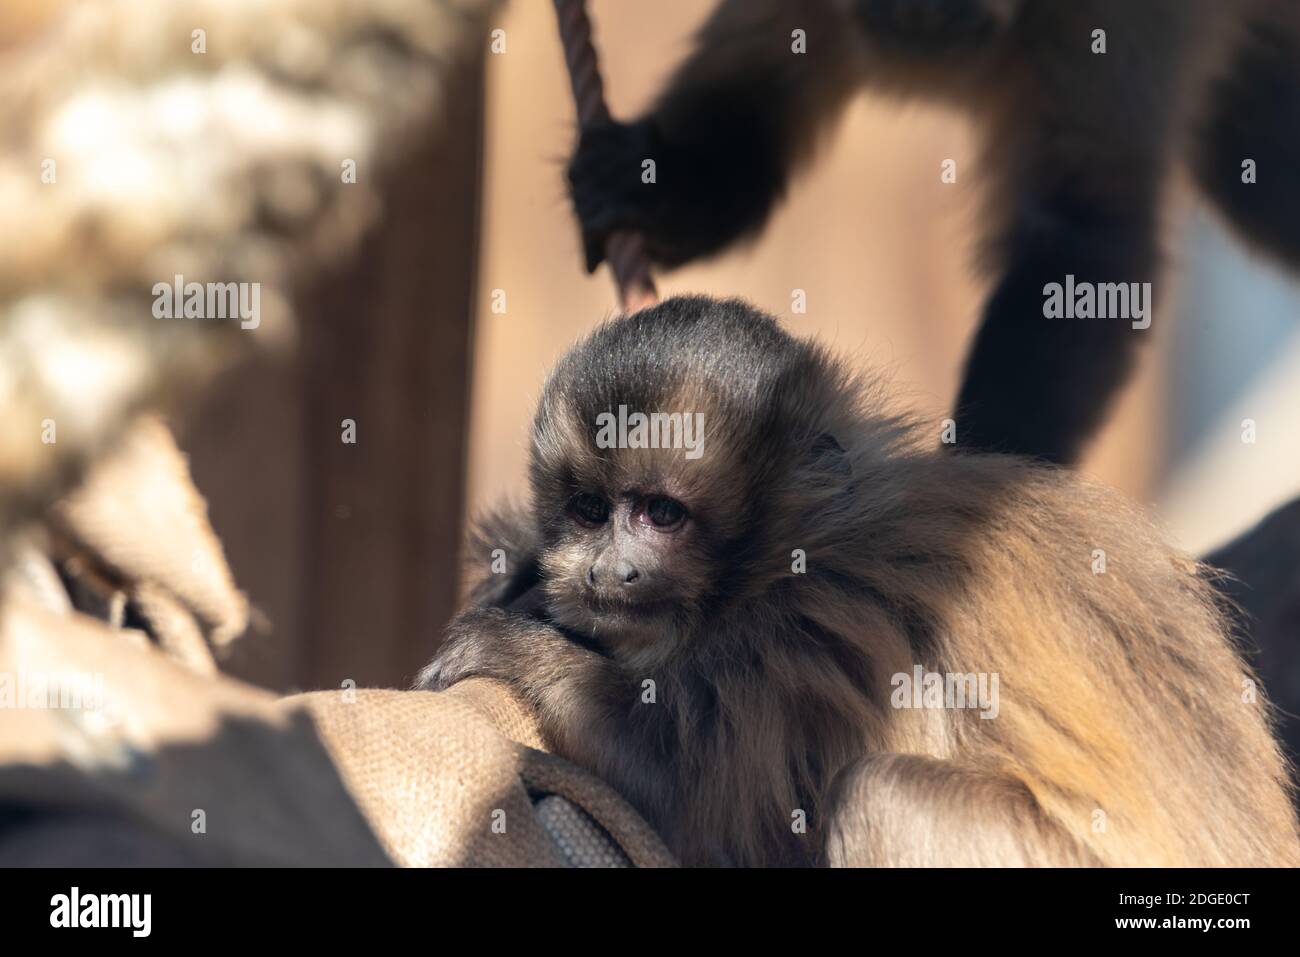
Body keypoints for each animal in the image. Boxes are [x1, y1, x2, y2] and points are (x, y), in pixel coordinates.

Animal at [418, 294, 1299, 867]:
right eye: (590, 510)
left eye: (662, 514)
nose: (610, 569)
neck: (795, 543)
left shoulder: (813, 617)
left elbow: (708, 811)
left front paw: (511, 647)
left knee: (879, 796)